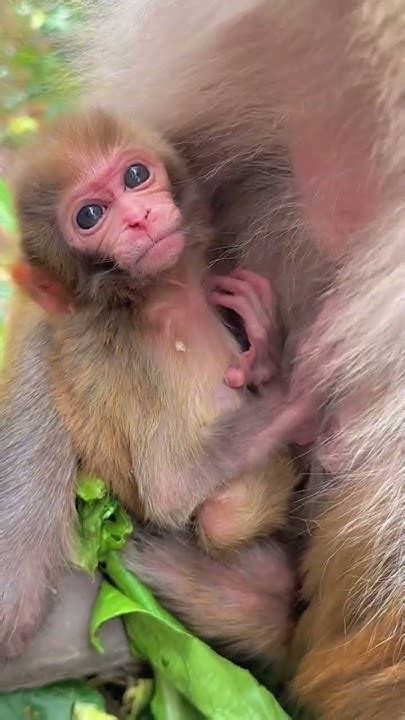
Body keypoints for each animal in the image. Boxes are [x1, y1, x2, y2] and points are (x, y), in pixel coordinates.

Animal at [0, 107, 301, 660]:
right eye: (89, 217)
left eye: (135, 175)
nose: (138, 218)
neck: (165, 299)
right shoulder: (133, 357)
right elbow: (170, 488)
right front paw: (297, 385)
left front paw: (264, 349)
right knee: (220, 517)